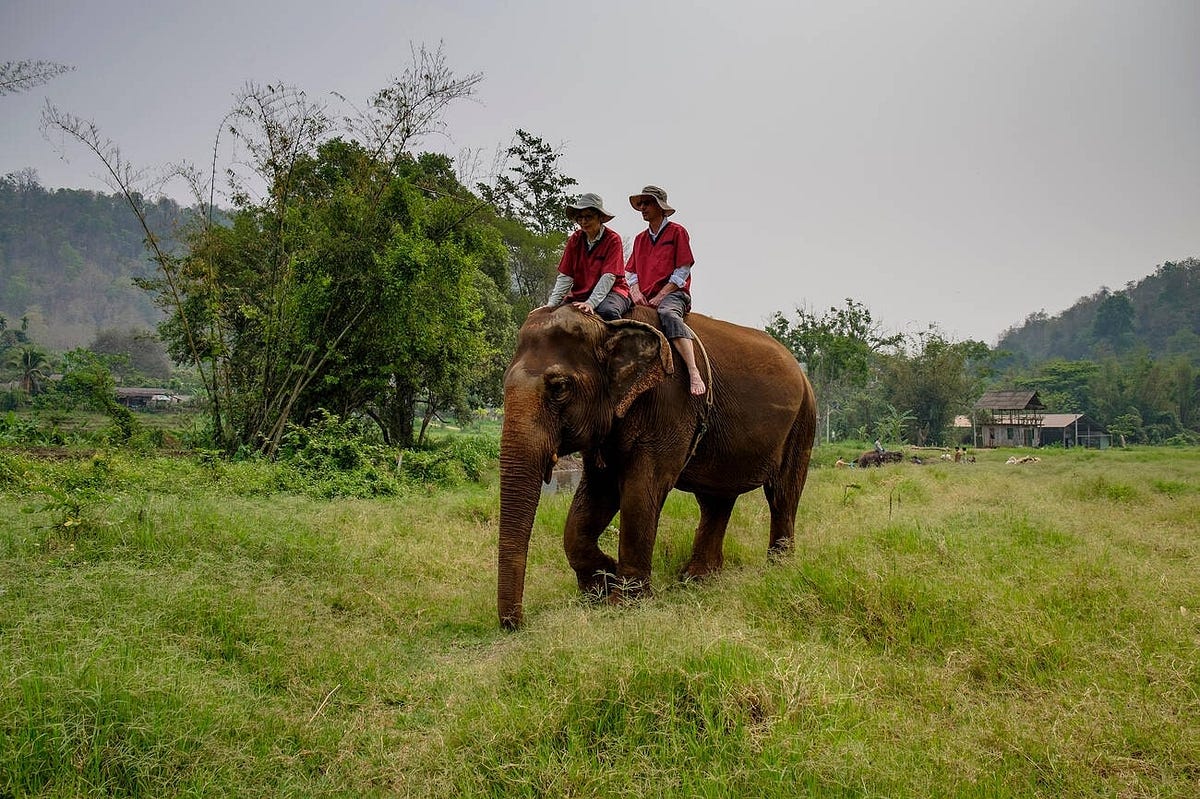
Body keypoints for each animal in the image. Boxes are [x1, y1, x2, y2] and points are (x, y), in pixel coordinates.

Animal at [497, 305, 817, 629]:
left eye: (559, 387)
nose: (516, 624)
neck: (608, 325)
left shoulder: (669, 405)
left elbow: (642, 489)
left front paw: (622, 602)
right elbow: (596, 494)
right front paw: (602, 585)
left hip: (803, 421)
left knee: (782, 494)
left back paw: (777, 569)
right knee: (715, 501)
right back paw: (697, 579)